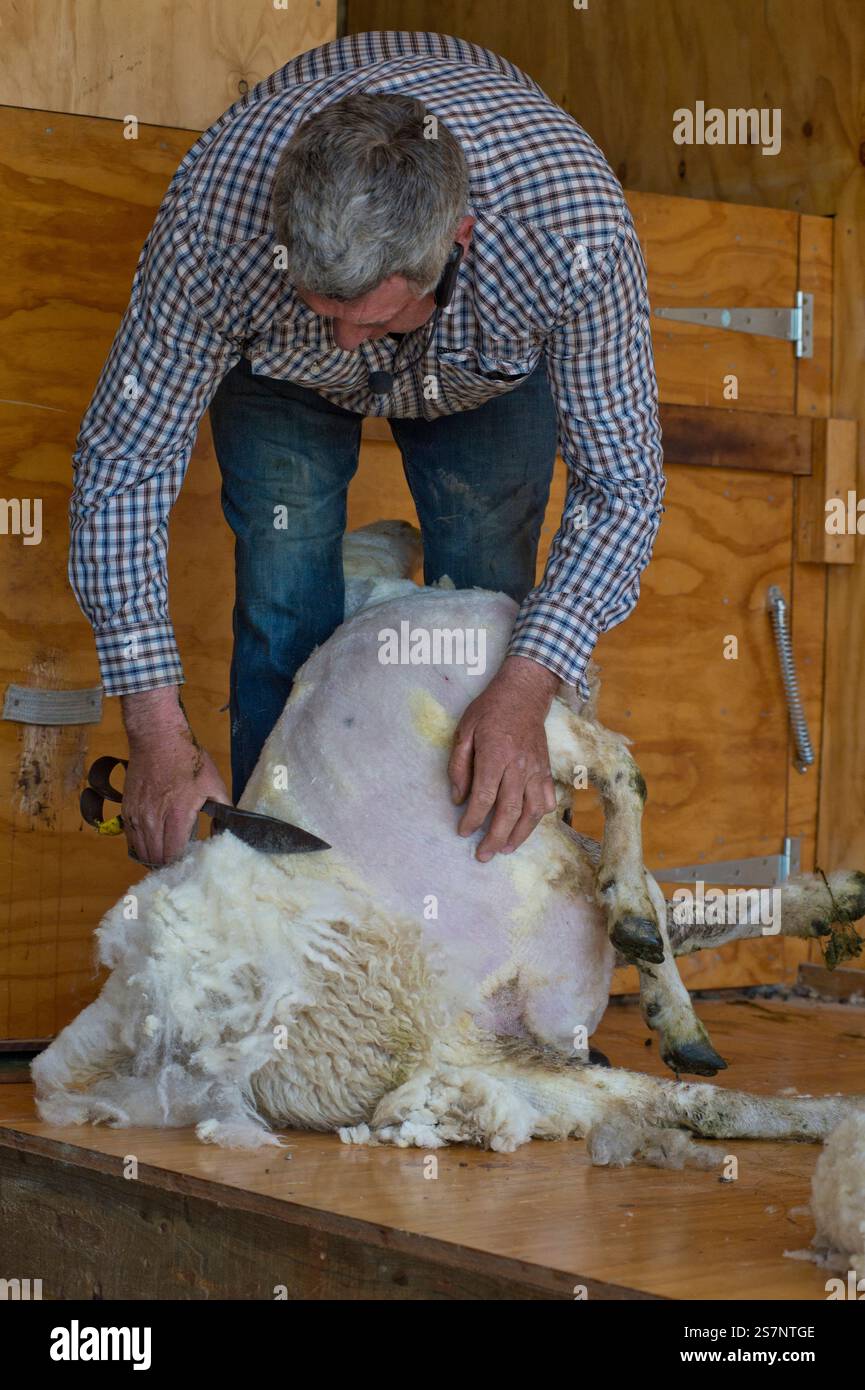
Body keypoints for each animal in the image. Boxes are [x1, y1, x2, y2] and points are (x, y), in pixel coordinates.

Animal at [33, 522, 865, 1165]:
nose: (398, 527)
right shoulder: (521, 734)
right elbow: (625, 773)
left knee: (649, 898)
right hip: (488, 1016)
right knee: (687, 1054)